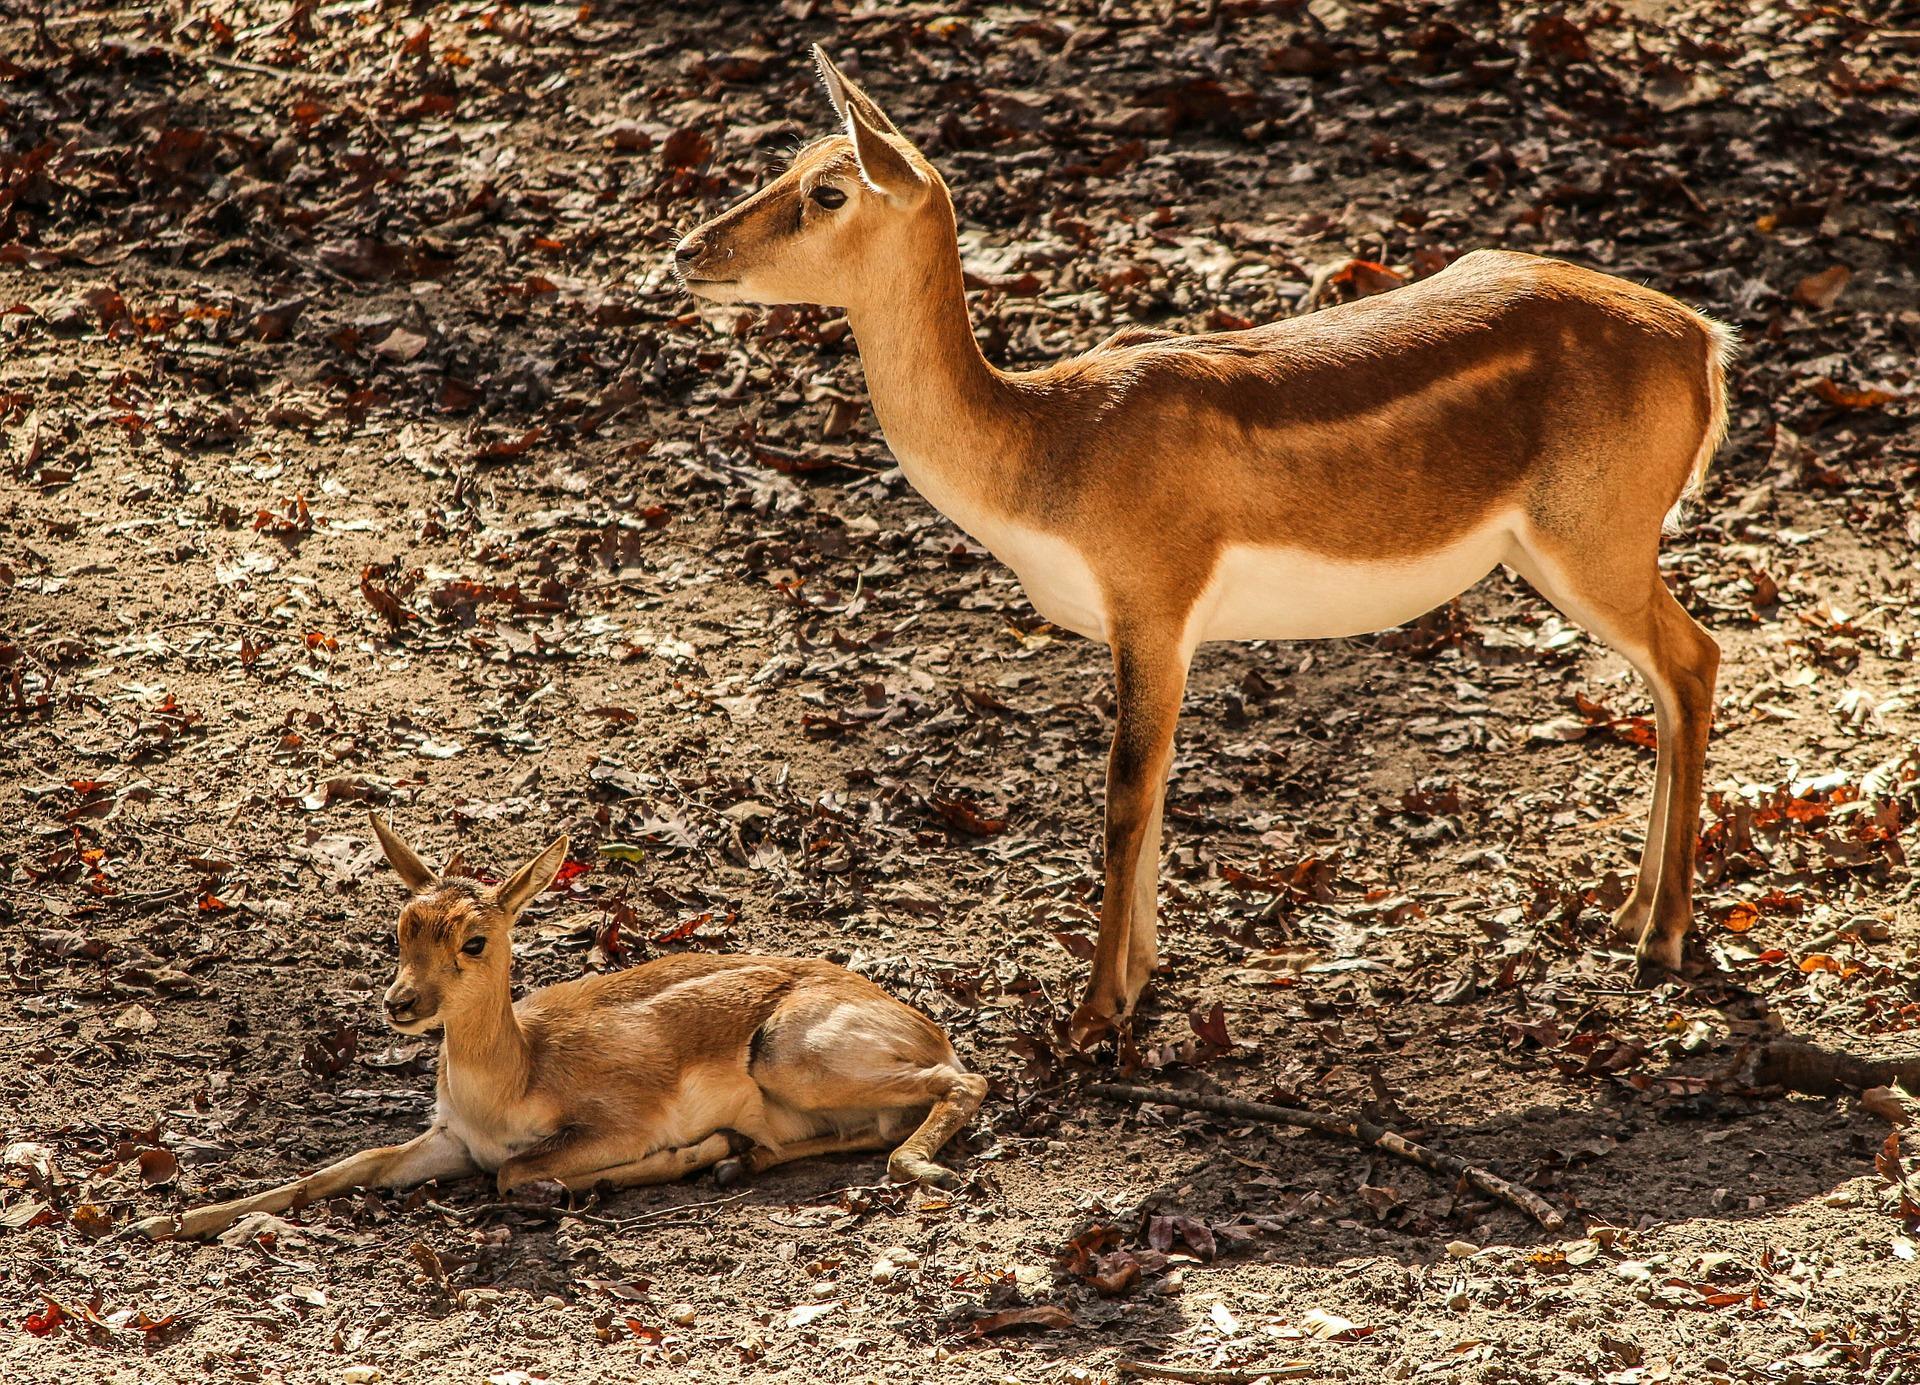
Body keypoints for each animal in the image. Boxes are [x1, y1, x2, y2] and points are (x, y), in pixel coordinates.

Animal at [132, 816, 984, 1240]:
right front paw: (165, 1219)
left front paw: (675, 1154)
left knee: (964, 1081)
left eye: (475, 938)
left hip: (795, 1055)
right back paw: (741, 1157)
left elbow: (514, 1172)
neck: (515, 1075)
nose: (400, 1003)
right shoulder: (449, 1137)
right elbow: (341, 1167)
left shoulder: (610, 1123)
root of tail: (922, 1021)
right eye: (403, 923)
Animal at [674, 48, 1733, 1045]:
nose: (688, 247)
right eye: (789, 163)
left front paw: (1094, 1013)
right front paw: (1140, 982)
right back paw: (1630, 912)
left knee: (1695, 657)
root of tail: (1703, 340)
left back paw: (1662, 936)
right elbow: (1158, 782)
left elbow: (1123, 791)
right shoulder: (1160, 634)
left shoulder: (1152, 601)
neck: (1047, 449)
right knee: (1670, 677)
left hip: (1592, 544)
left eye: (830, 190)